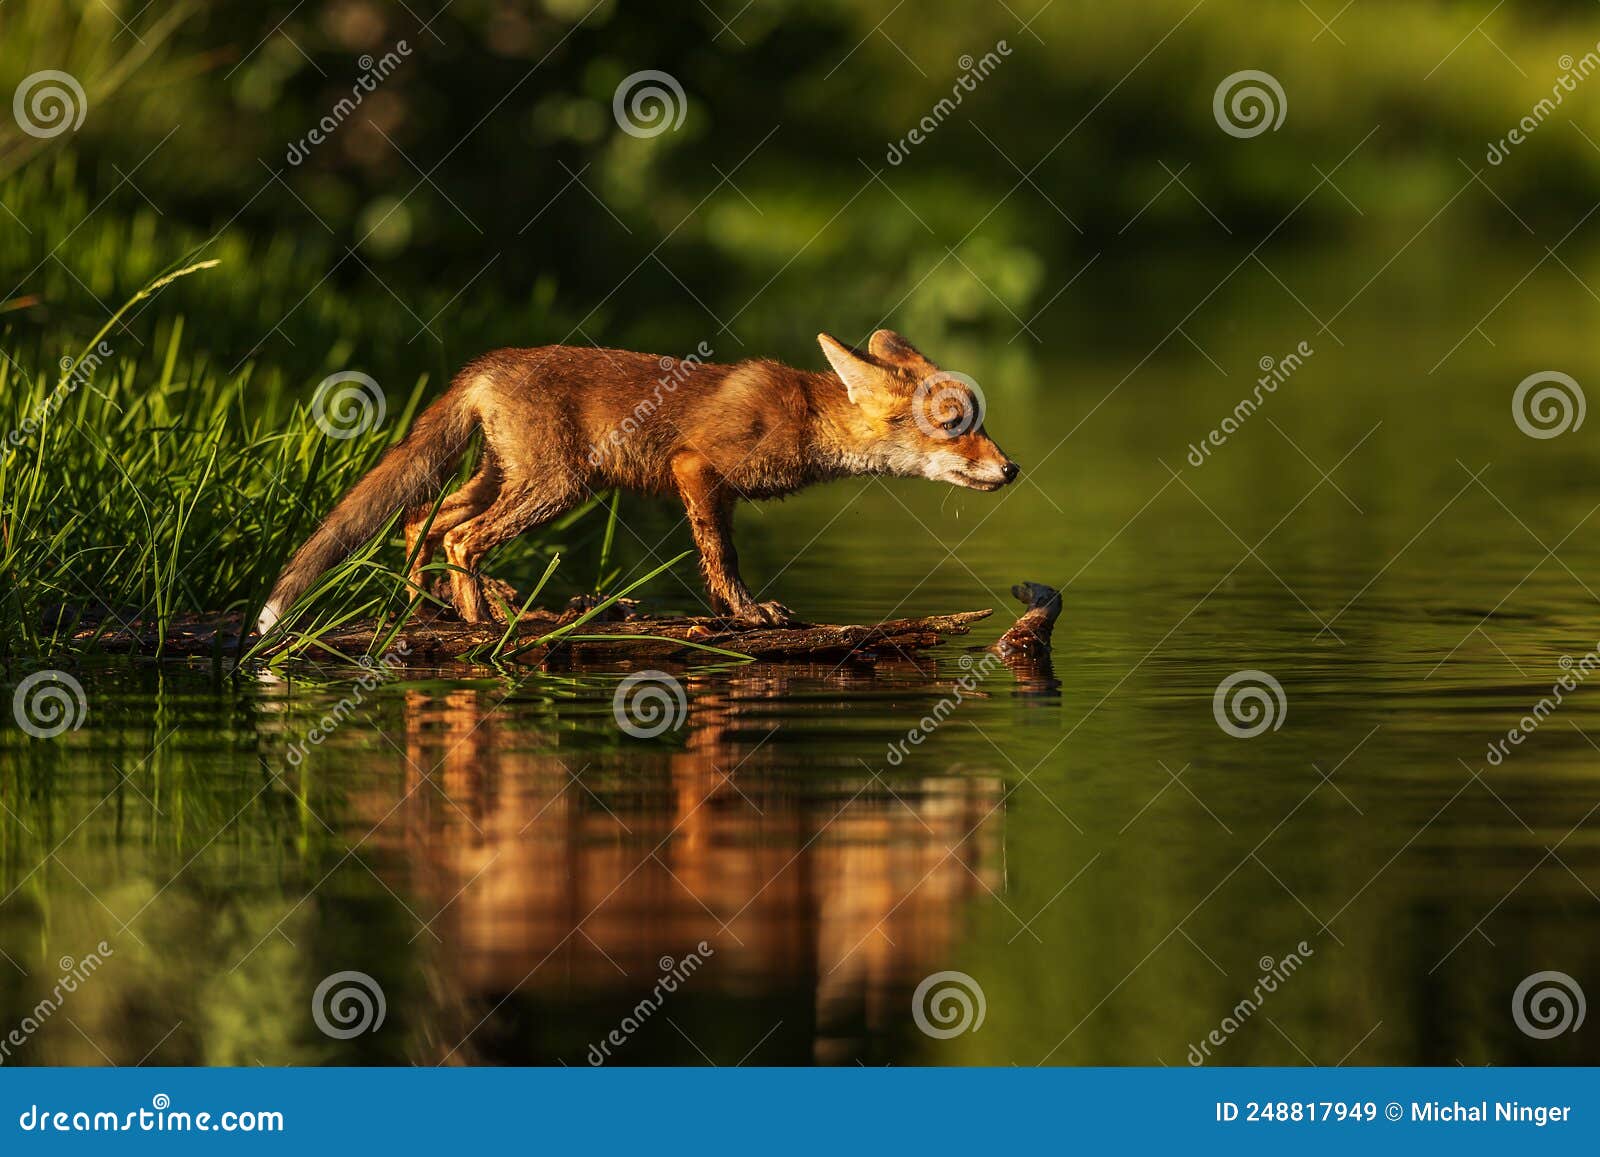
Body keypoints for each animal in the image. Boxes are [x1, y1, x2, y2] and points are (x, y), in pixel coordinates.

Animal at [256, 329, 1019, 633]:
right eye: (953, 422)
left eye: (979, 418)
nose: (1012, 468)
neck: (805, 416)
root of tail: (486, 363)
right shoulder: (697, 468)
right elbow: (722, 558)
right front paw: (746, 614)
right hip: (556, 487)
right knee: (462, 540)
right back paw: (485, 625)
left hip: (507, 478)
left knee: (423, 525)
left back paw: (440, 607)